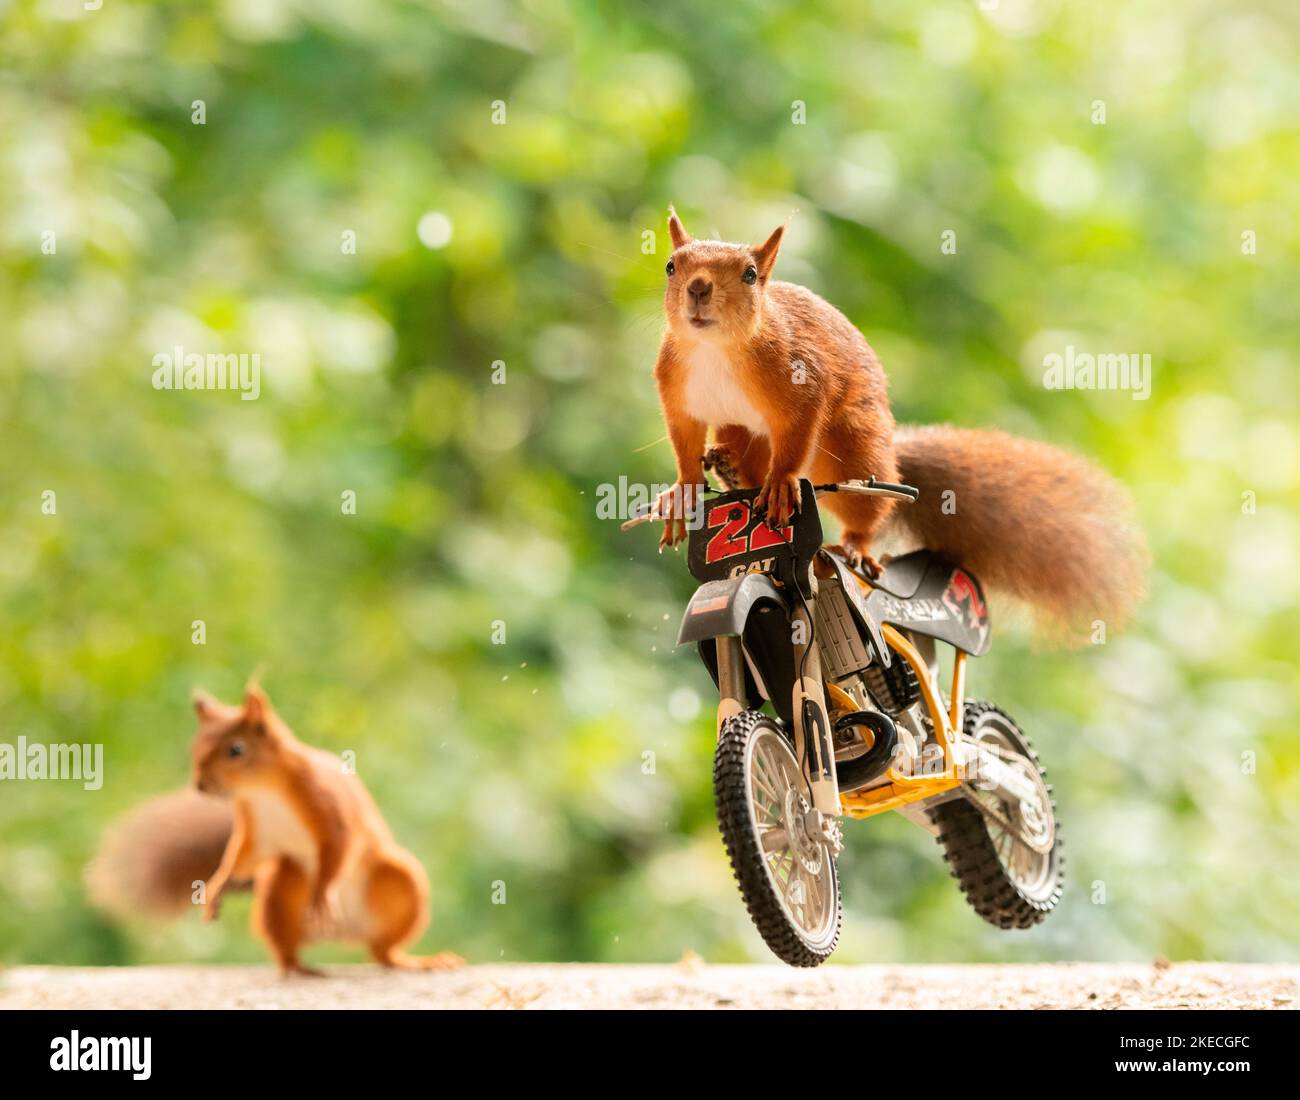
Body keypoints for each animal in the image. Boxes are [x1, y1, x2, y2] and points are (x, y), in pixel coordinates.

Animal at [88, 685, 462, 977]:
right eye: (195, 747)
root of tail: (340, 934)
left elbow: (336, 849)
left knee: (382, 951)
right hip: (281, 887)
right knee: (289, 949)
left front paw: (321, 896)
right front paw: (216, 887)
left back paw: (417, 961)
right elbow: (240, 857)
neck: (263, 790)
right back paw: (299, 968)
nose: (201, 785)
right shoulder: (256, 831)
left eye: (236, 750)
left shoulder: (329, 806)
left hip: (400, 884)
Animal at [652, 209, 1147, 634]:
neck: (715, 349)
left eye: (751, 274)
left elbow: (799, 429)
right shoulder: (677, 389)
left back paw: (852, 542)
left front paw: (782, 483)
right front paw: (683, 491)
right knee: (741, 449)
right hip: (739, 428)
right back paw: (730, 467)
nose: (698, 288)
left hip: (853, 447)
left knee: (863, 505)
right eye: (671, 267)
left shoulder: (801, 377)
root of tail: (889, 444)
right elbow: (684, 439)